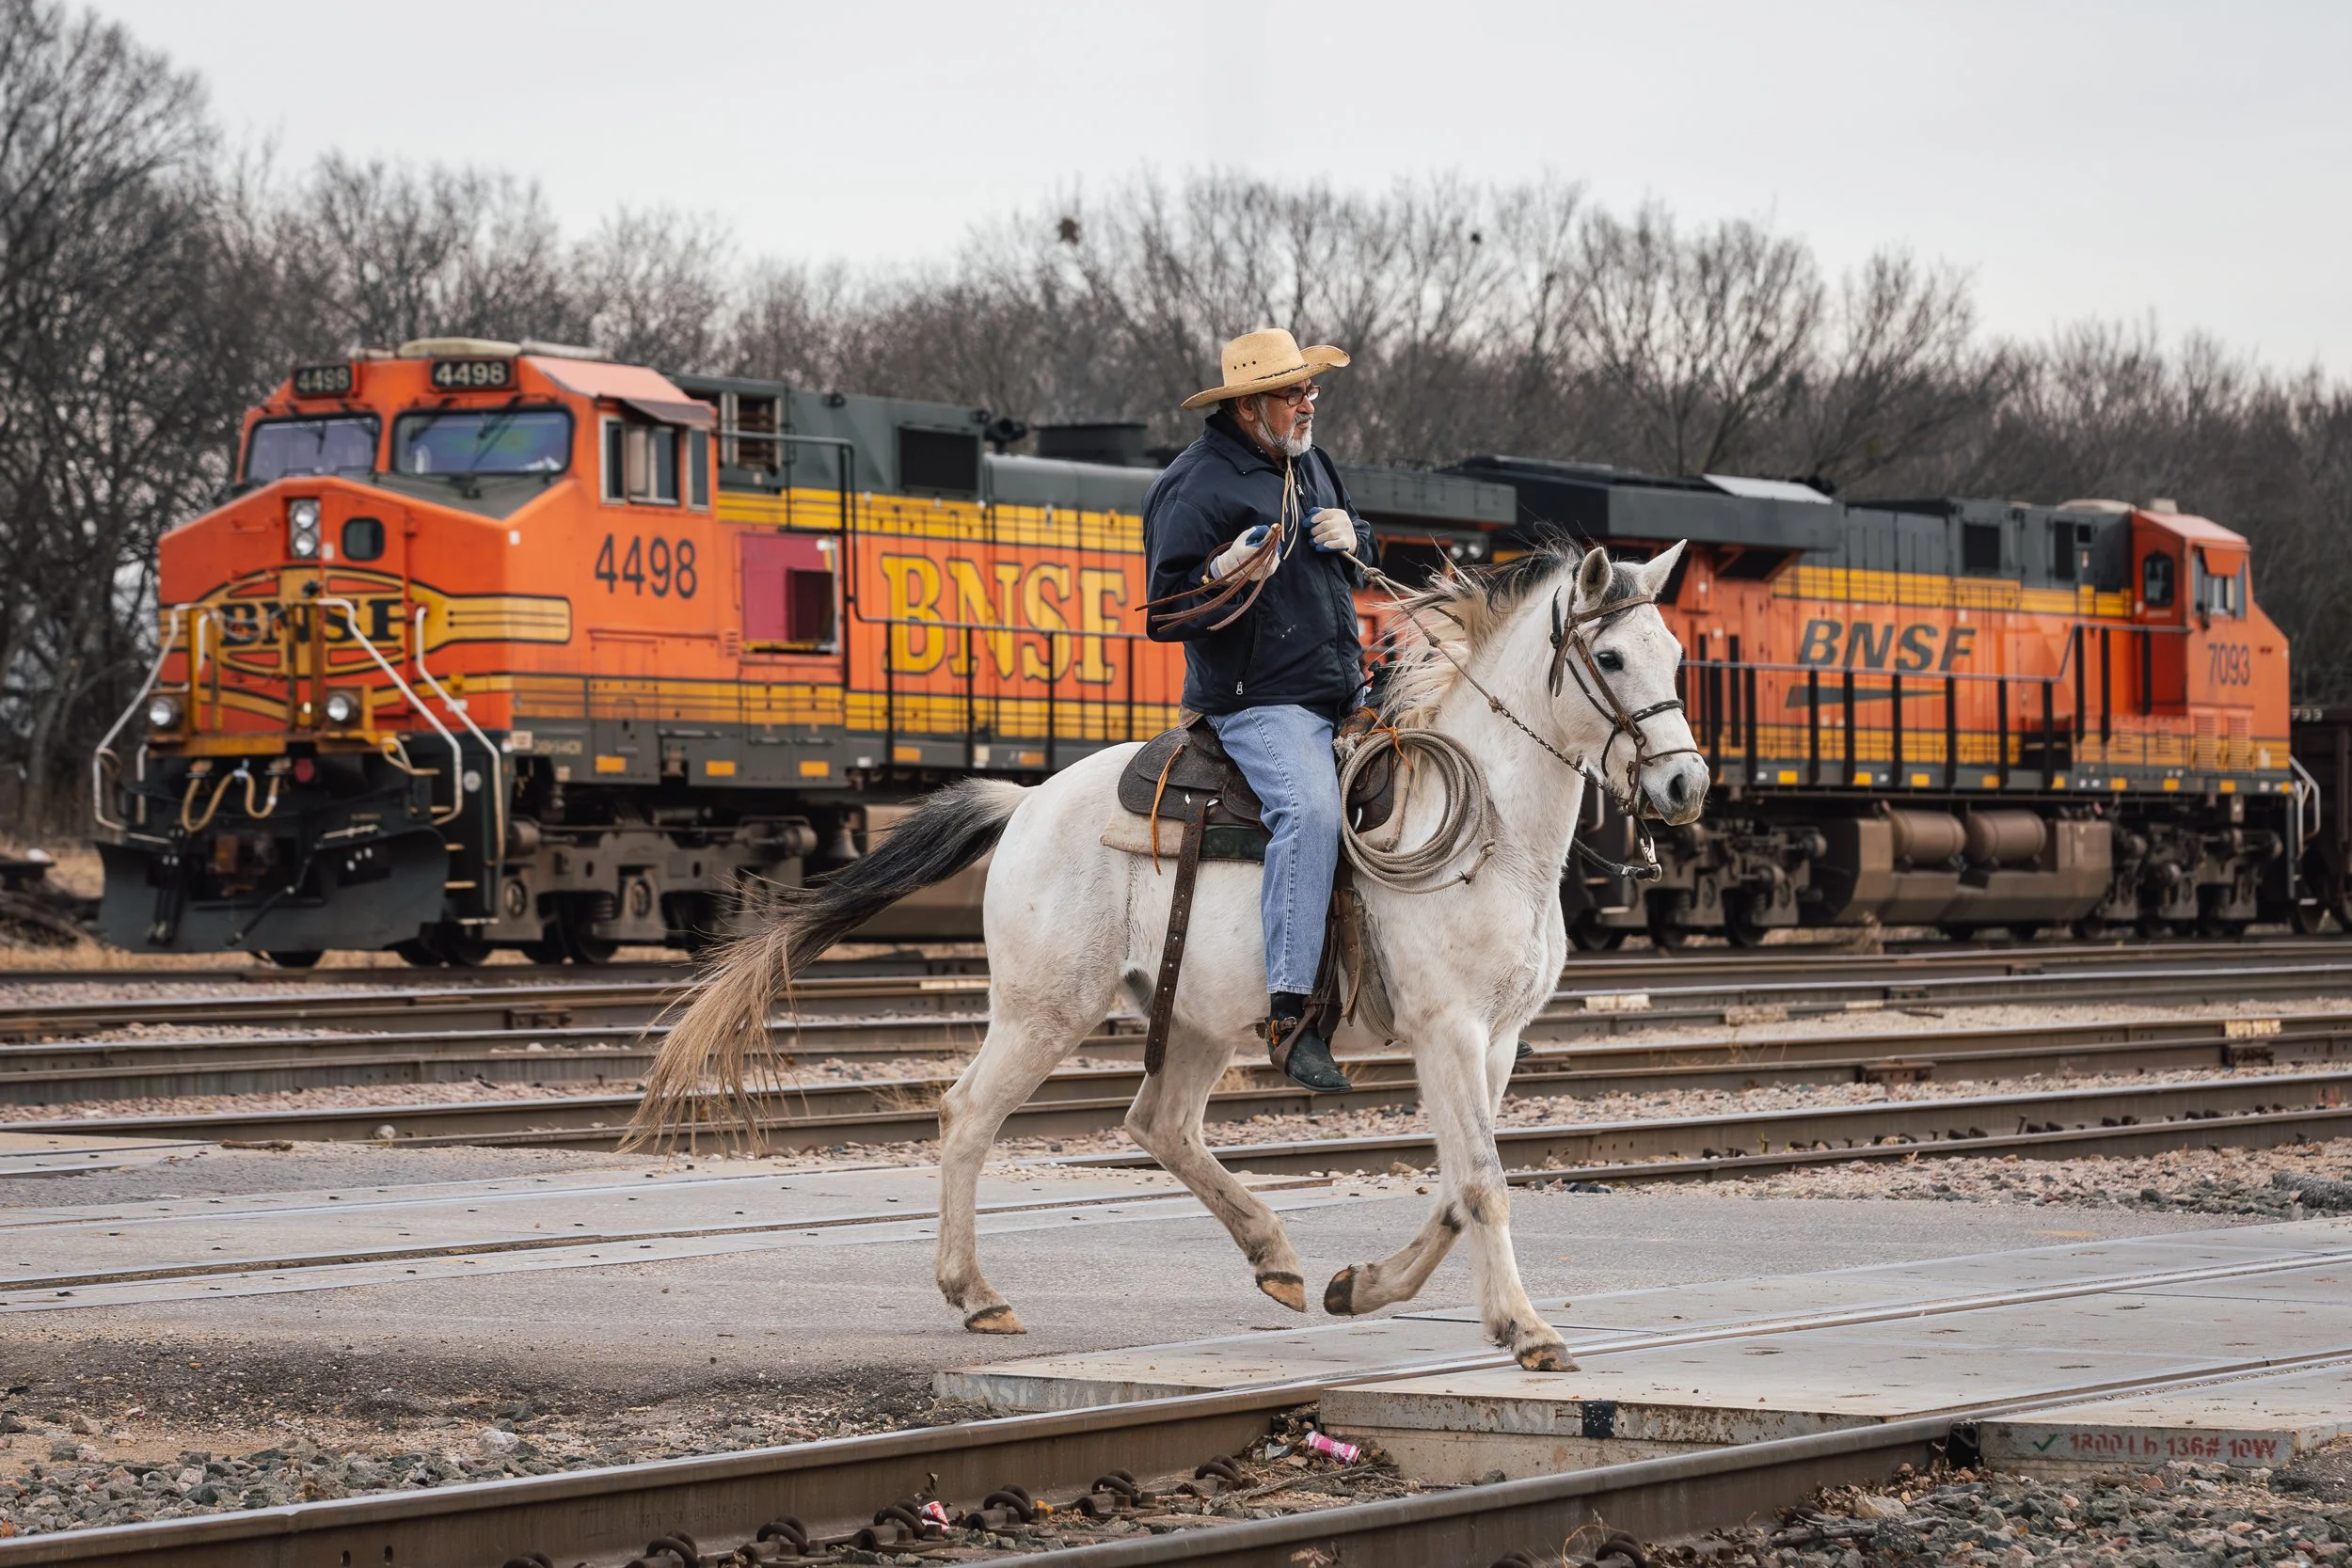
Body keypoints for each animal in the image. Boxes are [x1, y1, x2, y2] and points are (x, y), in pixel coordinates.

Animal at [627, 539, 1707, 1371]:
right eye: (1611, 655)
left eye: (1676, 652)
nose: (1688, 784)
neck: (1490, 825)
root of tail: (1027, 801)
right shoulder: (1448, 1029)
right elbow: (1480, 1180)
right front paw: (1526, 1328)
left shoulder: (1500, 1038)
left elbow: (1456, 1184)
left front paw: (1361, 1286)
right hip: (1046, 1009)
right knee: (969, 1113)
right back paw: (976, 1292)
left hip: (1194, 1016)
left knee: (1160, 1122)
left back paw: (1275, 1256)